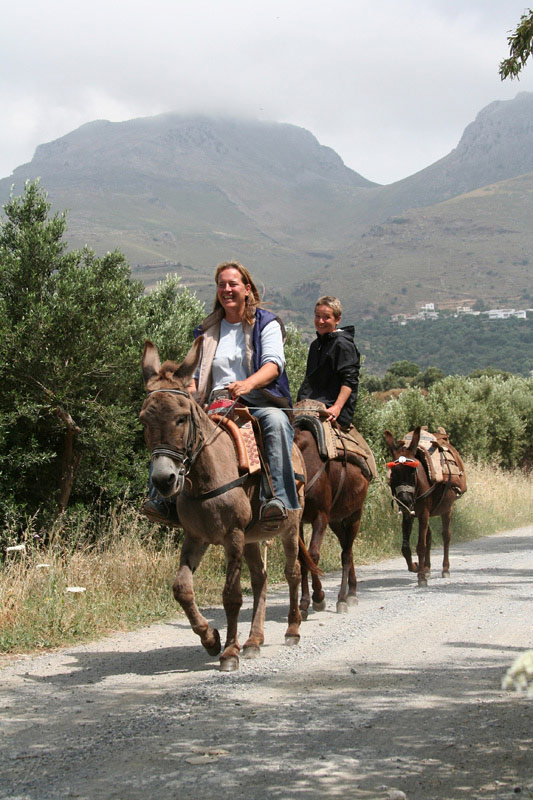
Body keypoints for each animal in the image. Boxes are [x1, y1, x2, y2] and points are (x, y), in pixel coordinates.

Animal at [140, 339, 309, 672]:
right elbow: (182, 589)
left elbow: (231, 596)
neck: (206, 477)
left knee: (292, 572)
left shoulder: (233, 535)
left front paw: (229, 652)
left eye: (182, 417)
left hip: (290, 528)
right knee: (260, 579)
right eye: (144, 420)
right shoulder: (197, 537)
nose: (164, 480)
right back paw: (254, 641)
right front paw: (210, 639)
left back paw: (293, 630)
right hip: (254, 538)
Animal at [292, 424, 370, 617]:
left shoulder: (321, 517)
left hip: (354, 515)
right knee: (346, 547)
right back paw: (352, 591)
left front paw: (319, 597)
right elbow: (303, 558)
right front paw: (304, 603)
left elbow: (313, 555)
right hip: (336, 520)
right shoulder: (299, 521)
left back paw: (343, 598)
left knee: (346, 554)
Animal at [384, 426, 466, 587]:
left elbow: (420, 546)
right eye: (393, 473)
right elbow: (405, 547)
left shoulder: (423, 513)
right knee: (429, 536)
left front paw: (421, 577)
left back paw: (445, 569)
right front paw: (416, 567)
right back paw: (427, 568)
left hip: (447, 509)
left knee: (446, 536)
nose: (405, 500)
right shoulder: (408, 514)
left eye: (412, 472)